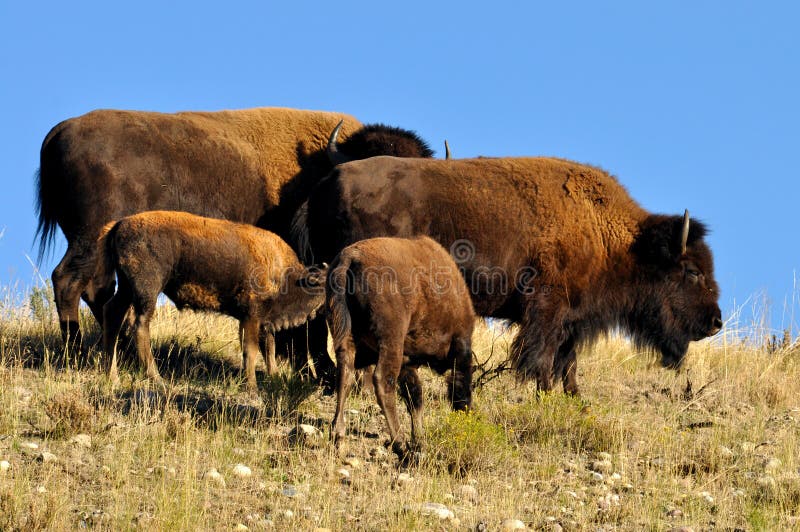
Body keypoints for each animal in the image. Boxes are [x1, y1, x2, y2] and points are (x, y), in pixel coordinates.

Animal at [98, 211, 326, 389]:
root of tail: (119, 224)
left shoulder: (262, 320)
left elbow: (268, 348)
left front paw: (275, 378)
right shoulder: (252, 315)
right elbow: (251, 351)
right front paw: (252, 386)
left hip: (126, 288)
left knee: (112, 314)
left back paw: (113, 377)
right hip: (148, 290)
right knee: (140, 325)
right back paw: (157, 378)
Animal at [298, 156, 723, 393]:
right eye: (691, 270)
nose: (715, 321)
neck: (608, 234)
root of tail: (324, 186)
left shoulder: (572, 318)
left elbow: (568, 361)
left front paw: (573, 398)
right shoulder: (548, 308)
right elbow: (541, 357)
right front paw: (544, 393)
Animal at [327, 236, 475, 458]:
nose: (466, 411)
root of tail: (350, 258)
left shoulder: (407, 362)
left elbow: (415, 398)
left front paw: (419, 440)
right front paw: (415, 442)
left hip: (345, 337)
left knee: (345, 375)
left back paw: (339, 436)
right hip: (391, 339)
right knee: (383, 380)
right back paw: (400, 444)